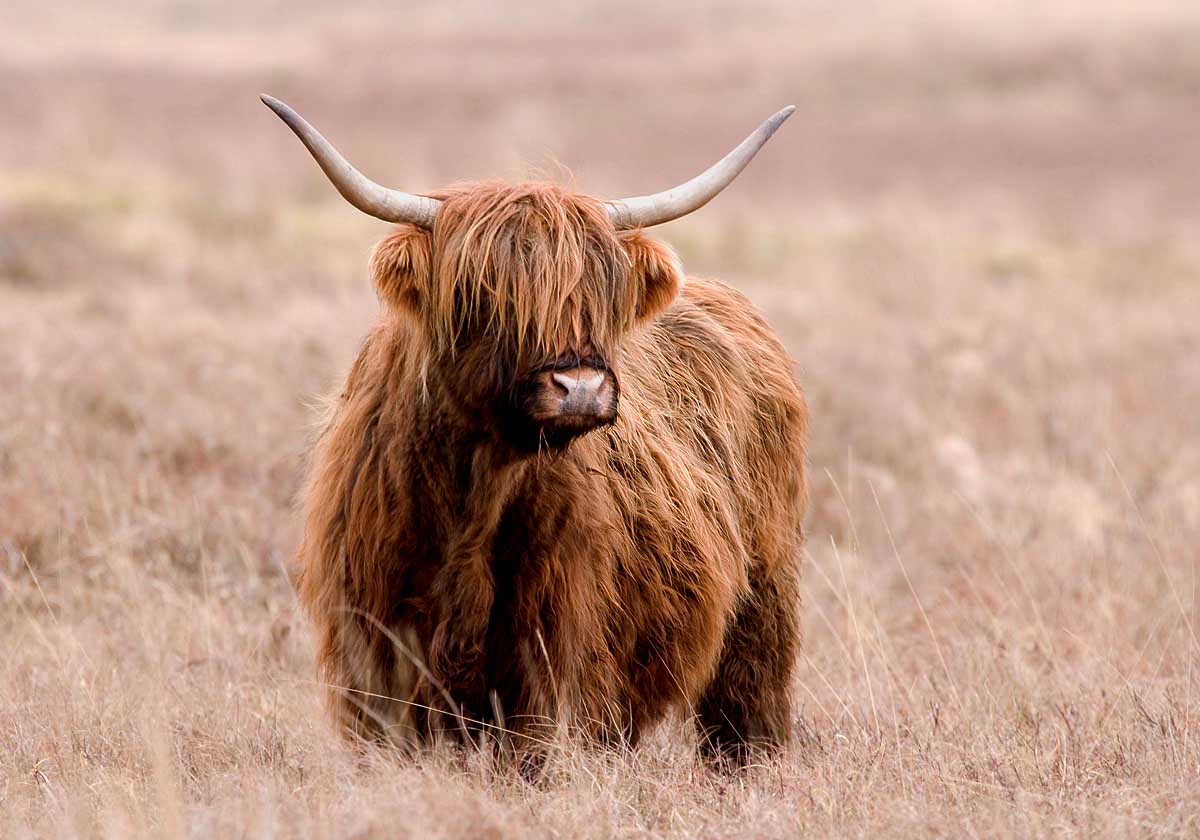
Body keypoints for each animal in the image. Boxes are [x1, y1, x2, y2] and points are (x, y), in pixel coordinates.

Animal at [263, 95, 807, 766]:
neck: (474, 495)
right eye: (484, 294)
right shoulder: (373, 657)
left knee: (744, 715)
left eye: (602, 295)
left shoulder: (550, 667)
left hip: (763, 603)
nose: (580, 387)